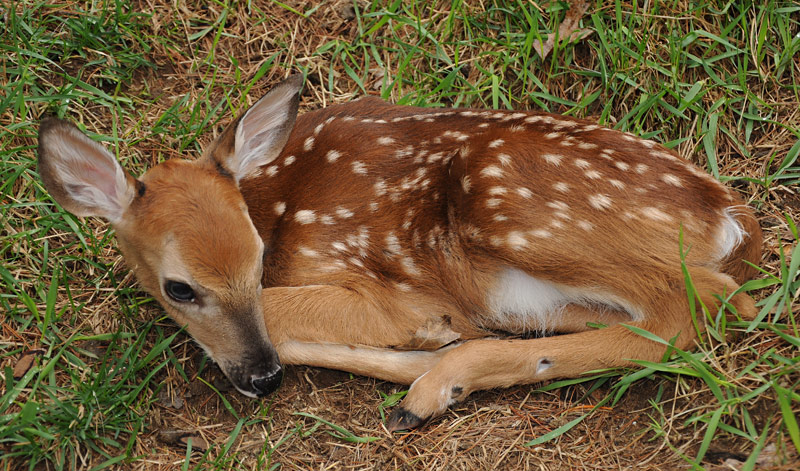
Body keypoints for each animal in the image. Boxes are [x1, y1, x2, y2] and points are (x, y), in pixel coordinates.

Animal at [38, 74, 762, 431]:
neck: (275, 205)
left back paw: (435, 383)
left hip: (505, 198)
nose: (261, 377)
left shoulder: (386, 291)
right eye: (180, 287)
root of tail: (730, 216)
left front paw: (427, 344)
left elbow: (288, 314)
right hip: (537, 284)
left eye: (257, 256)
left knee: (702, 305)